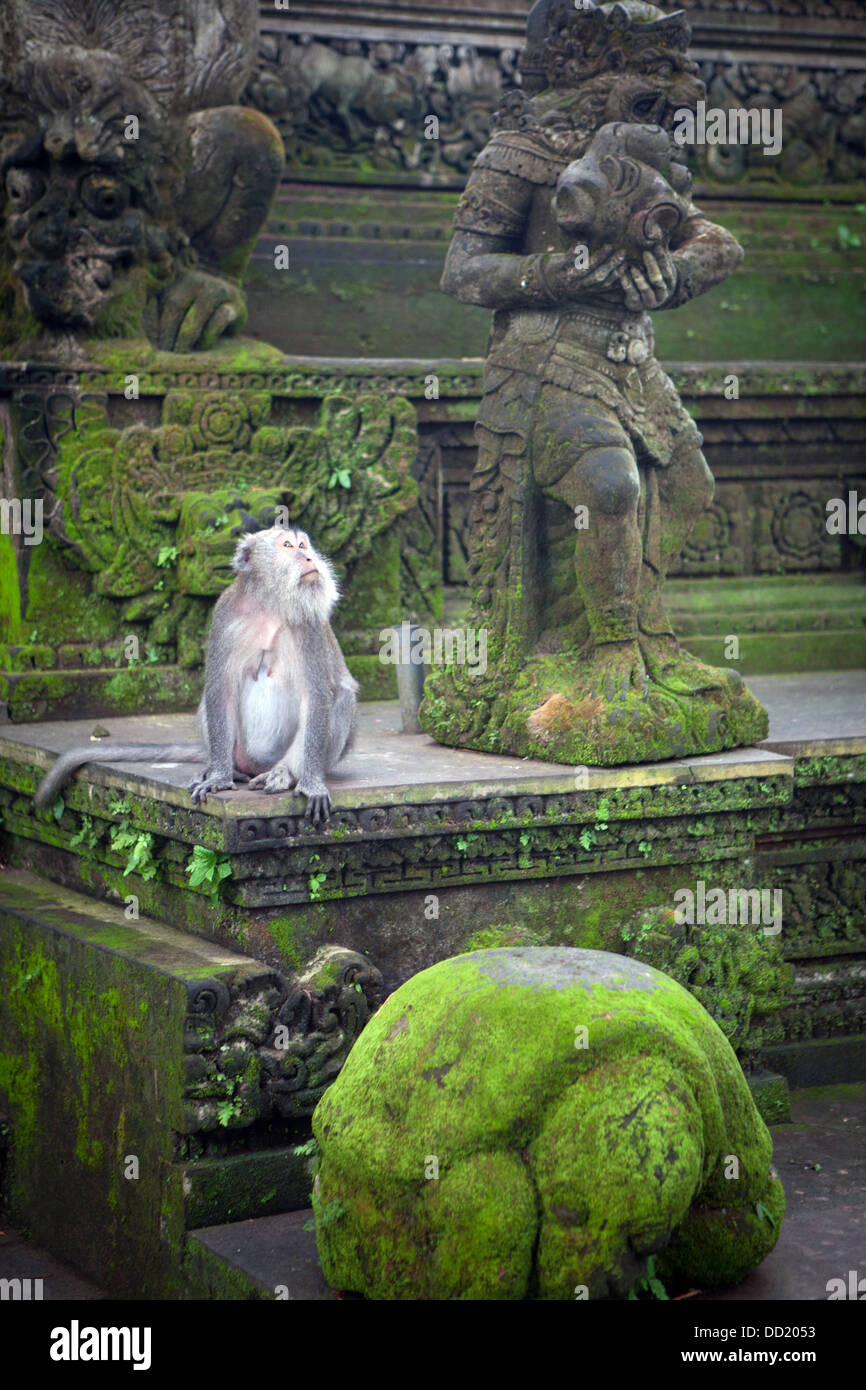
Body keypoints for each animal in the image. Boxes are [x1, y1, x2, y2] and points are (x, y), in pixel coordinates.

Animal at [34, 526, 358, 826]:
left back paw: (283, 773)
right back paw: (224, 769)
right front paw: (218, 777)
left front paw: (311, 783)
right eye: (288, 545)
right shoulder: (224, 616)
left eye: (303, 545)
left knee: (342, 698)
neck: (271, 604)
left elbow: (316, 697)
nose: (308, 557)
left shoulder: (311, 625)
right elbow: (219, 690)